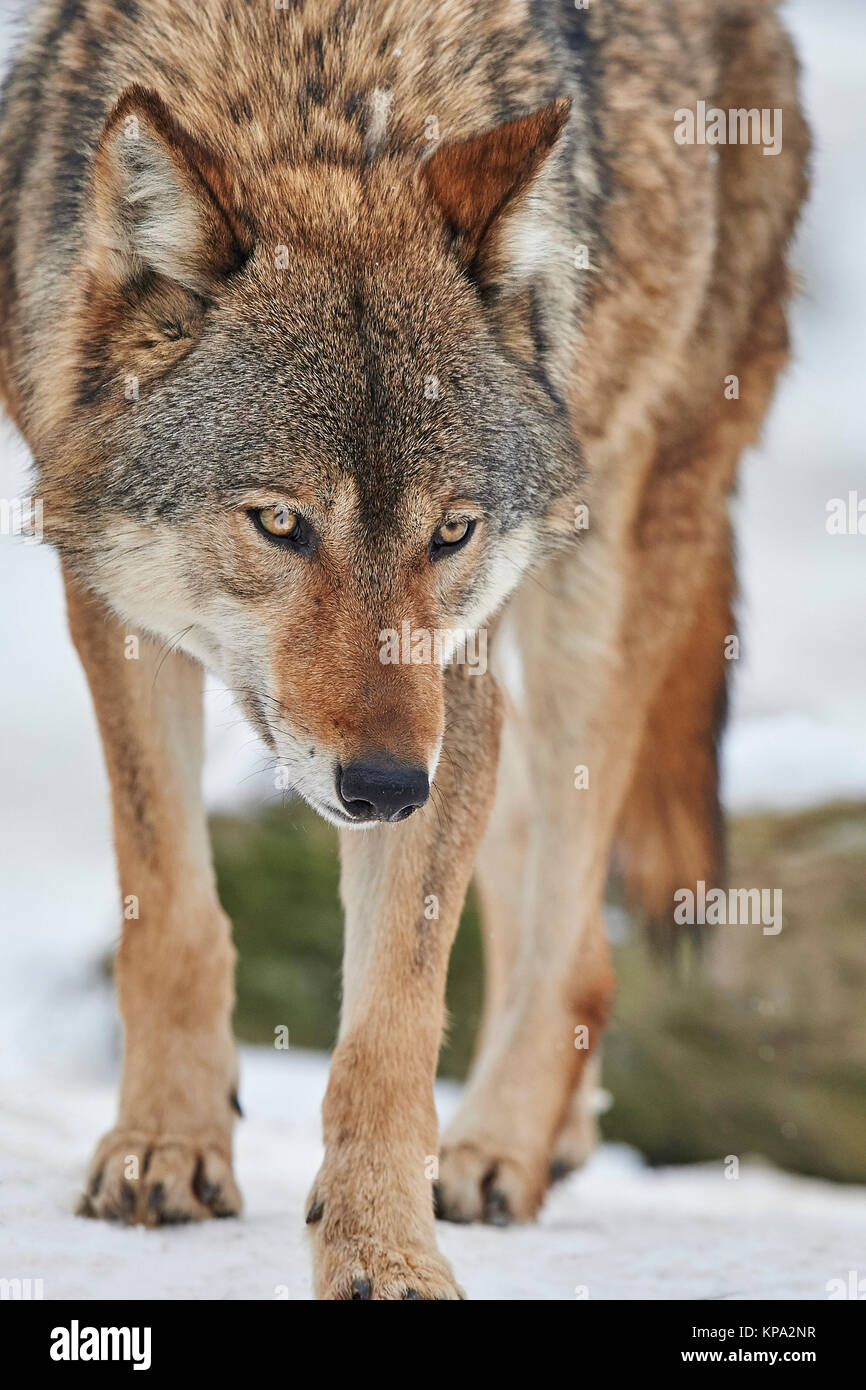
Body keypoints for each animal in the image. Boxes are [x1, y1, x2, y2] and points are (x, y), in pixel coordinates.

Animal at [0, 0, 808, 1298]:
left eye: (449, 531)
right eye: (281, 523)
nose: (382, 789)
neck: (317, 89)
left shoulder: (450, 676)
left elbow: (388, 1028)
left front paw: (381, 1249)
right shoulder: (113, 600)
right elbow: (168, 909)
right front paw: (164, 1146)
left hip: (603, 570)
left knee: (575, 933)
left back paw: (498, 1149)